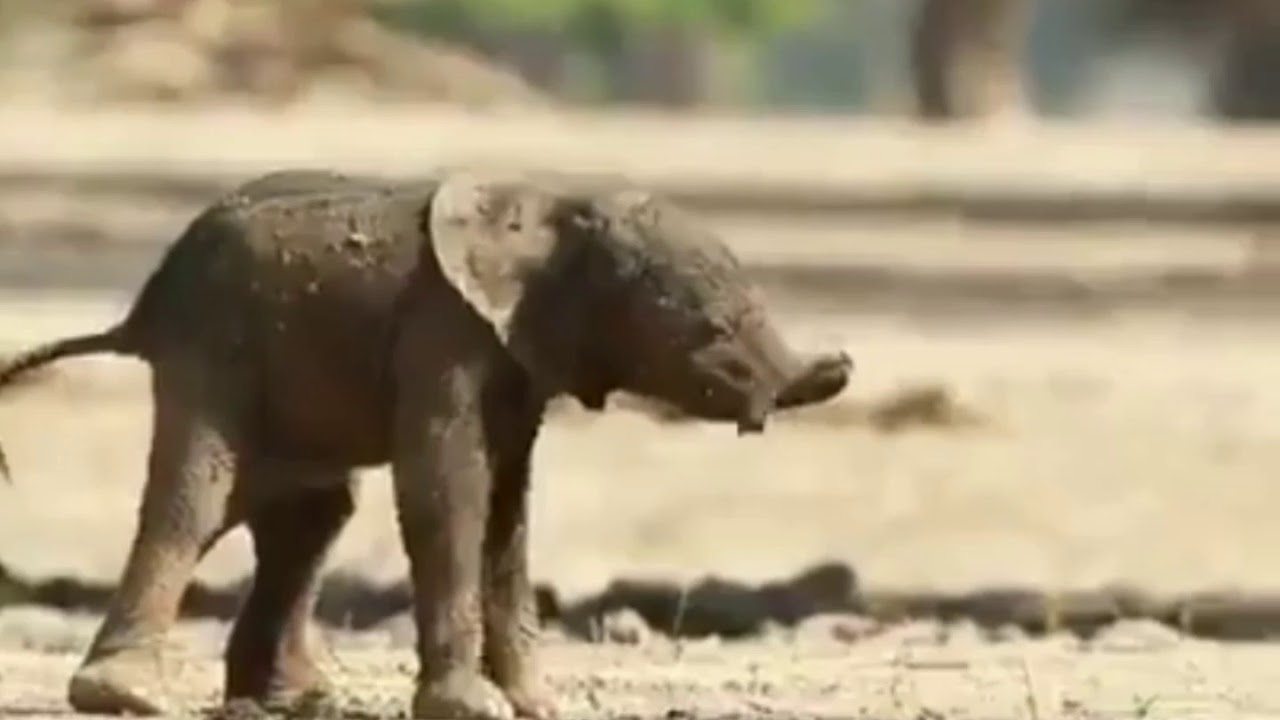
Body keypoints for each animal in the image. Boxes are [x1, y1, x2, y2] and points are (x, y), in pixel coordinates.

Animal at [0, 167, 852, 719]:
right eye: (711, 330)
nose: (840, 365)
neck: (556, 209)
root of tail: (141, 306)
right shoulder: (442, 333)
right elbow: (451, 488)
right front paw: (474, 708)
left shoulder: (516, 358)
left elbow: (506, 508)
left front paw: (535, 707)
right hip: (212, 352)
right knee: (196, 503)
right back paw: (127, 699)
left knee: (309, 521)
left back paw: (294, 701)